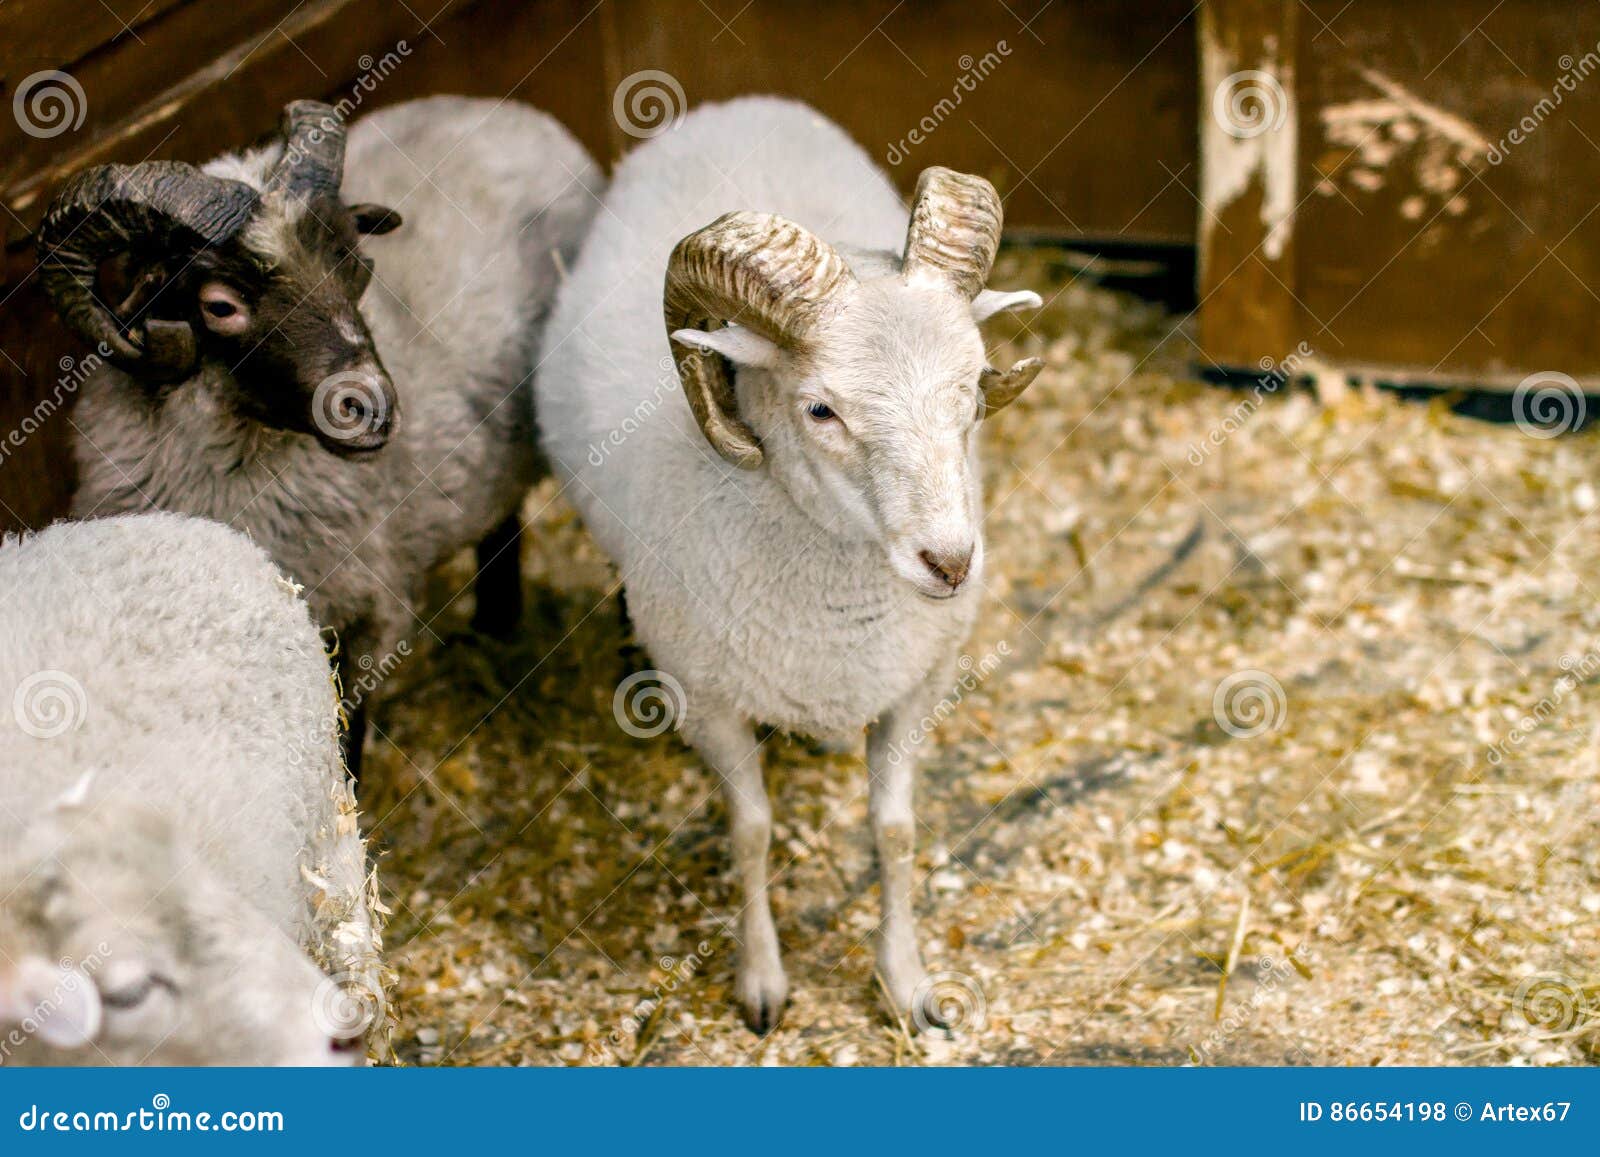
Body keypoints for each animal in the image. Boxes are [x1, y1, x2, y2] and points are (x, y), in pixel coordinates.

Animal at [35, 96, 604, 775]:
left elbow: (344, 748)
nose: (371, 406)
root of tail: (506, 109)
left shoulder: (368, 617)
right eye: (220, 305)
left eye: (355, 268)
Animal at [536, 96, 1043, 1032]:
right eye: (821, 410)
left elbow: (894, 828)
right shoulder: (711, 700)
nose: (952, 562)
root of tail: (737, 105)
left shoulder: (915, 685)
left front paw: (907, 980)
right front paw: (762, 980)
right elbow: (753, 831)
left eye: (973, 383)